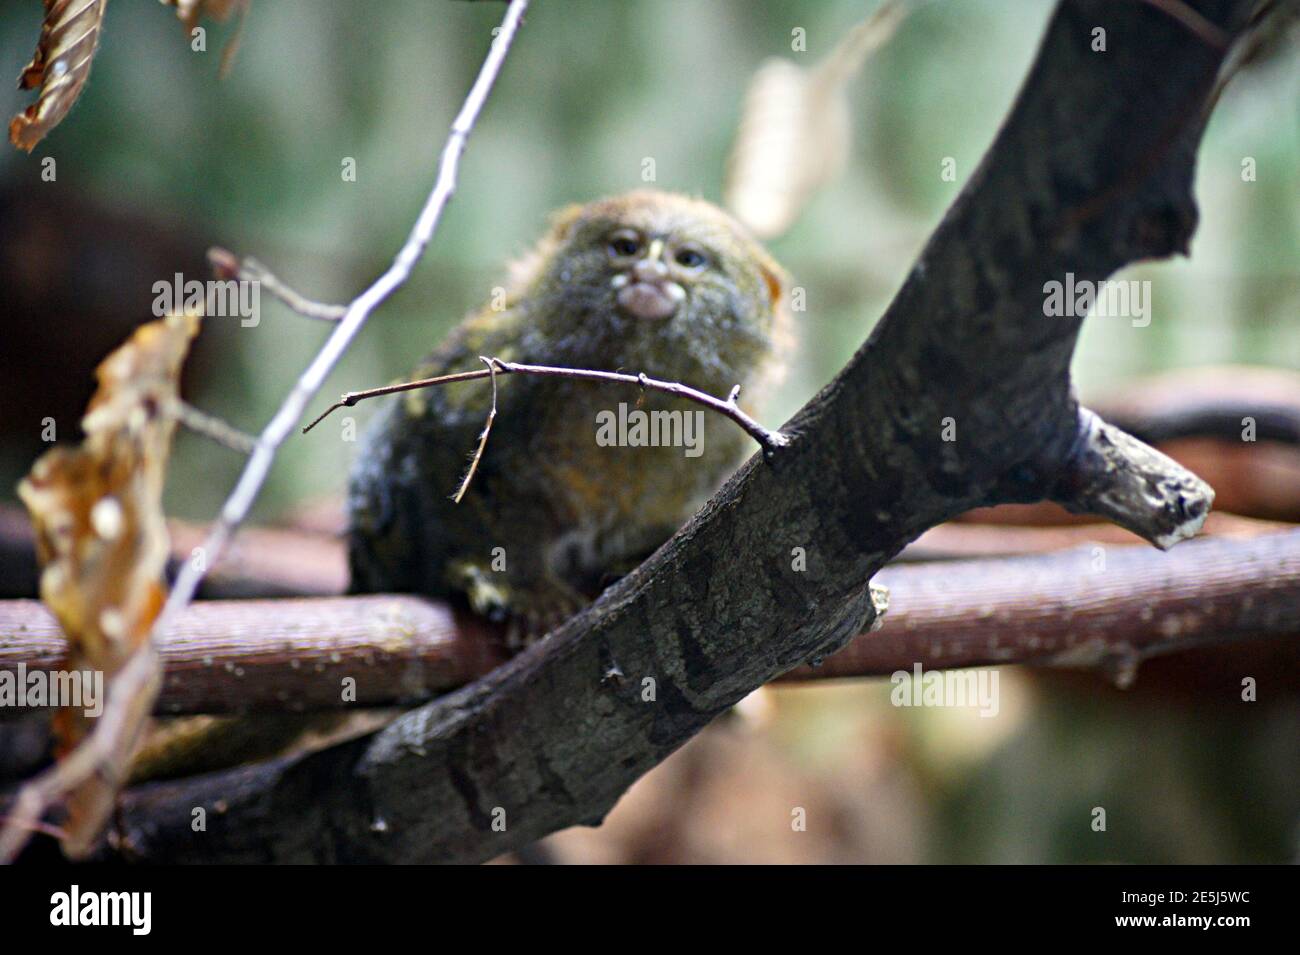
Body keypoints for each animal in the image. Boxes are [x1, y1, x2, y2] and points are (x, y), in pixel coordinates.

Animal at [347, 190, 788, 644]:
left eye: (688, 259)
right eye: (625, 247)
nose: (648, 271)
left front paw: (633, 558)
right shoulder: (499, 360)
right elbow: (439, 452)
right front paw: (519, 584)